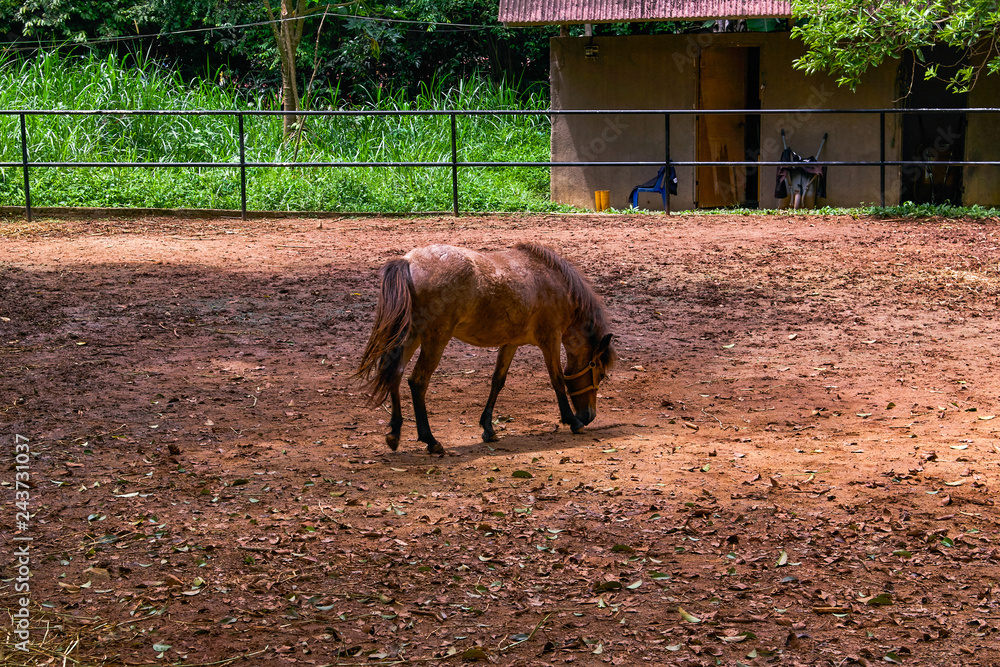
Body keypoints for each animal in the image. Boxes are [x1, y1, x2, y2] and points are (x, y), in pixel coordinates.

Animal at [354, 243, 616, 455]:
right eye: (601, 374)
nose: (589, 416)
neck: (554, 282)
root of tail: (408, 261)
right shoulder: (550, 340)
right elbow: (558, 380)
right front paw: (572, 421)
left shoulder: (510, 343)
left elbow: (497, 381)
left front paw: (488, 428)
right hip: (435, 338)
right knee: (417, 381)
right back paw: (430, 440)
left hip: (412, 336)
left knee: (395, 373)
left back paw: (395, 433)